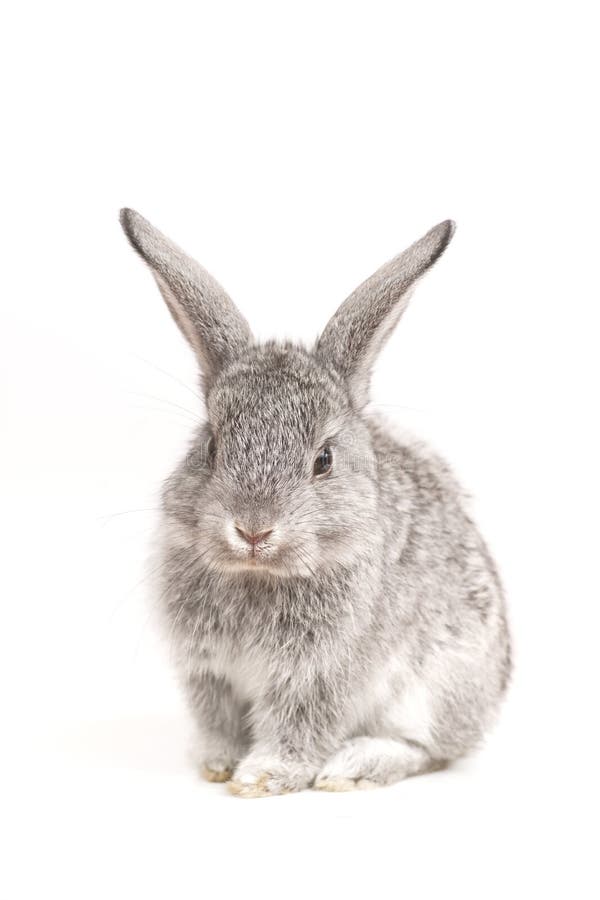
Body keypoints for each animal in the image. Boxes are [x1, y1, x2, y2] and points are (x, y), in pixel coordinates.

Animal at [120, 208, 511, 797]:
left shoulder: (320, 673)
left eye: (324, 460)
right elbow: (218, 720)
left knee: (428, 749)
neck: (258, 574)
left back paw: (355, 765)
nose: (253, 530)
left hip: (440, 685)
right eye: (211, 446)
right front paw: (218, 763)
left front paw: (262, 776)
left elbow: (300, 725)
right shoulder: (209, 672)